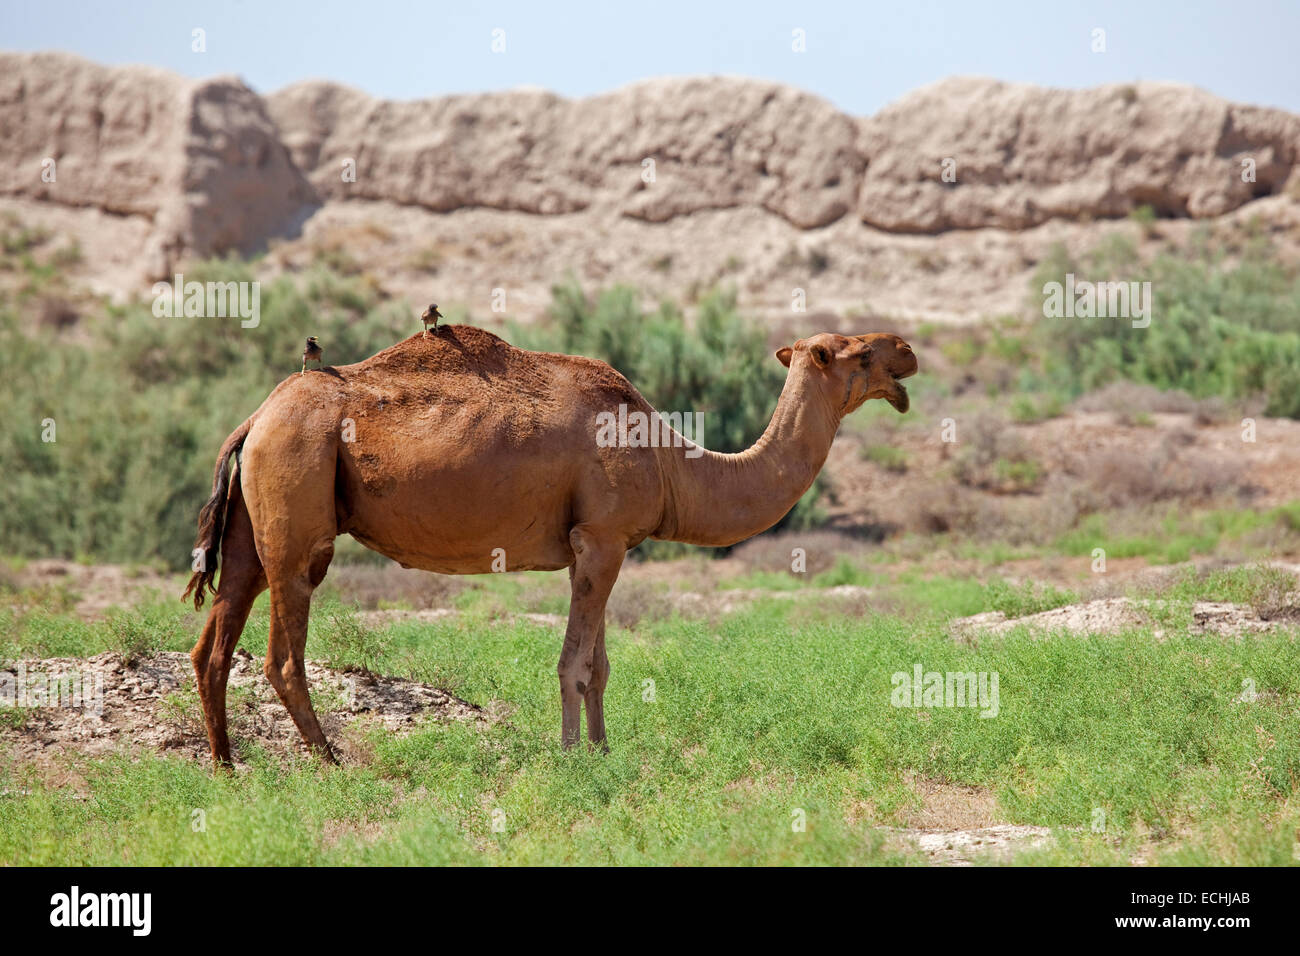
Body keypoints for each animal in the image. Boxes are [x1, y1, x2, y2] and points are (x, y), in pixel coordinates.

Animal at [183, 326, 917, 767]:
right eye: (856, 351)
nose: (907, 350)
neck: (671, 461)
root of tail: (255, 417)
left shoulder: (600, 545)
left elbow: (602, 664)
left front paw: (602, 751)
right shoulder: (601, 540)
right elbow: (576, 664)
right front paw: (571, 758)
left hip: (253, 524)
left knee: (214, 639)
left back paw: (226, 764)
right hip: (298, 505)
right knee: (282, 651)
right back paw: (330, 762)